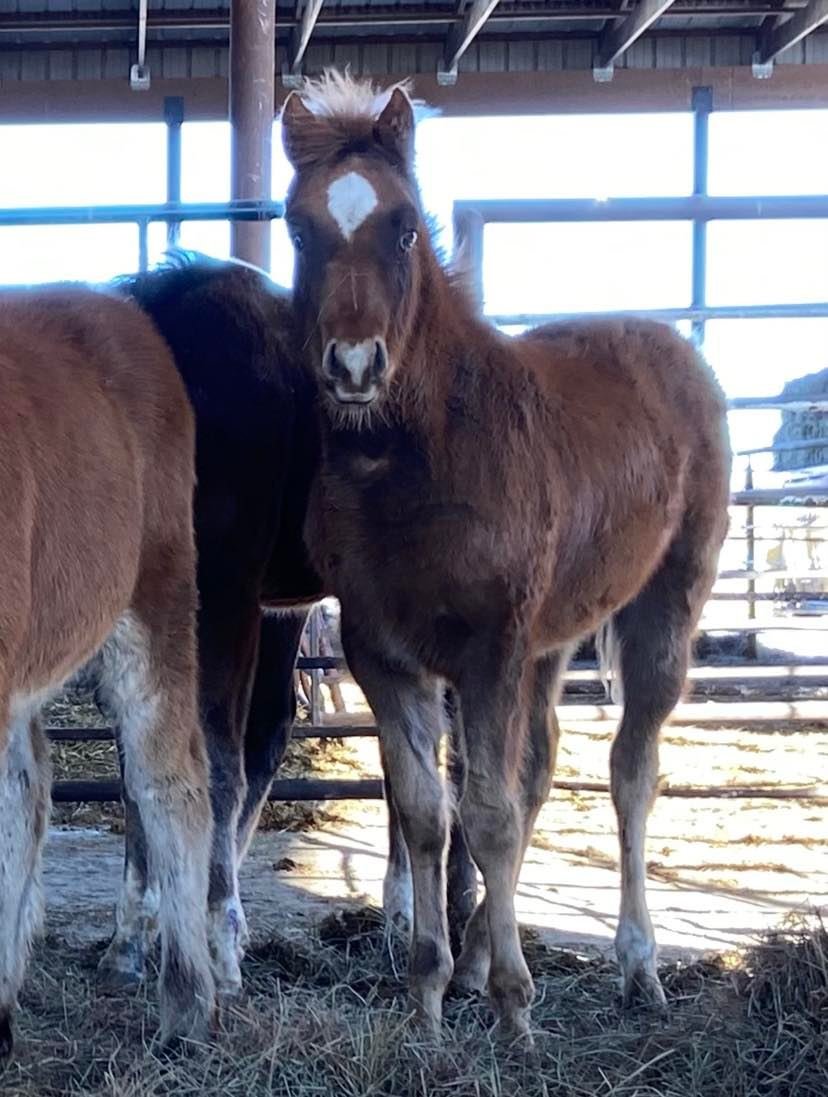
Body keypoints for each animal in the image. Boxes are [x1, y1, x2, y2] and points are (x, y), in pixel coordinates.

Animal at [95, 254, 476, 999]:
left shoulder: (228, 589)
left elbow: (215, 759)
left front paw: (216, 950)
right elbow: (142, 764)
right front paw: (135, 937)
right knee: (321, 733)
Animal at [280, 71, 732, 1040]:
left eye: (405, 225)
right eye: (298, 228)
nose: (354, 365)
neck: (426, 454)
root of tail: (674, 344)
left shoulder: (490, 645)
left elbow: (482, 814)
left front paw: (516, 1012)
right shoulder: (384, 650)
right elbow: (427, 812)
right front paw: (429, 994)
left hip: (664, 605)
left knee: (629, 770)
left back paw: (637, 965)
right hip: (553, 636)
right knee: (540, 774)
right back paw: (492, 951)